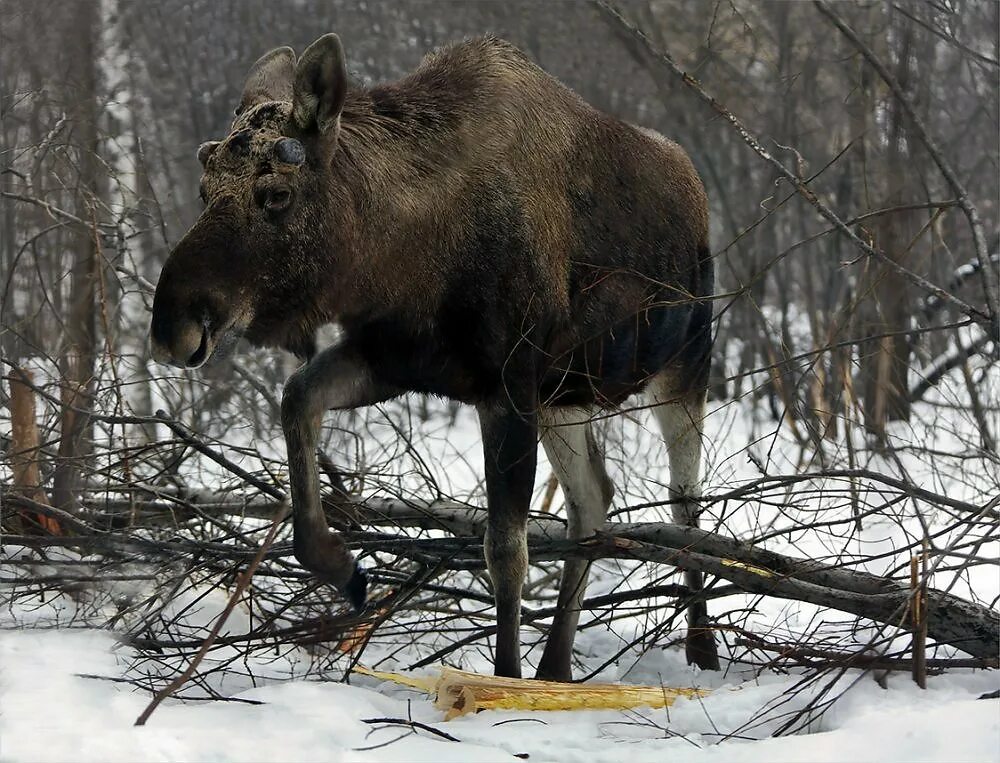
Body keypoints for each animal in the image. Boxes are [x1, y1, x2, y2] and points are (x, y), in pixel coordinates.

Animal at [150, 34, 720, 680]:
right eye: (205, 190)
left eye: (276, 194)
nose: (173, 327)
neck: (400, 252)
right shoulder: (394, 359)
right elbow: (296, 401)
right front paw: (345, 569)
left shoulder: (505, 387)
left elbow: (506, 552)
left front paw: (505, 679)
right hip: (563, 399)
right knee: (593, 499)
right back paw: (555, 668)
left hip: (685, 364)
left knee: (684, 500)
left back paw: (699, 650)